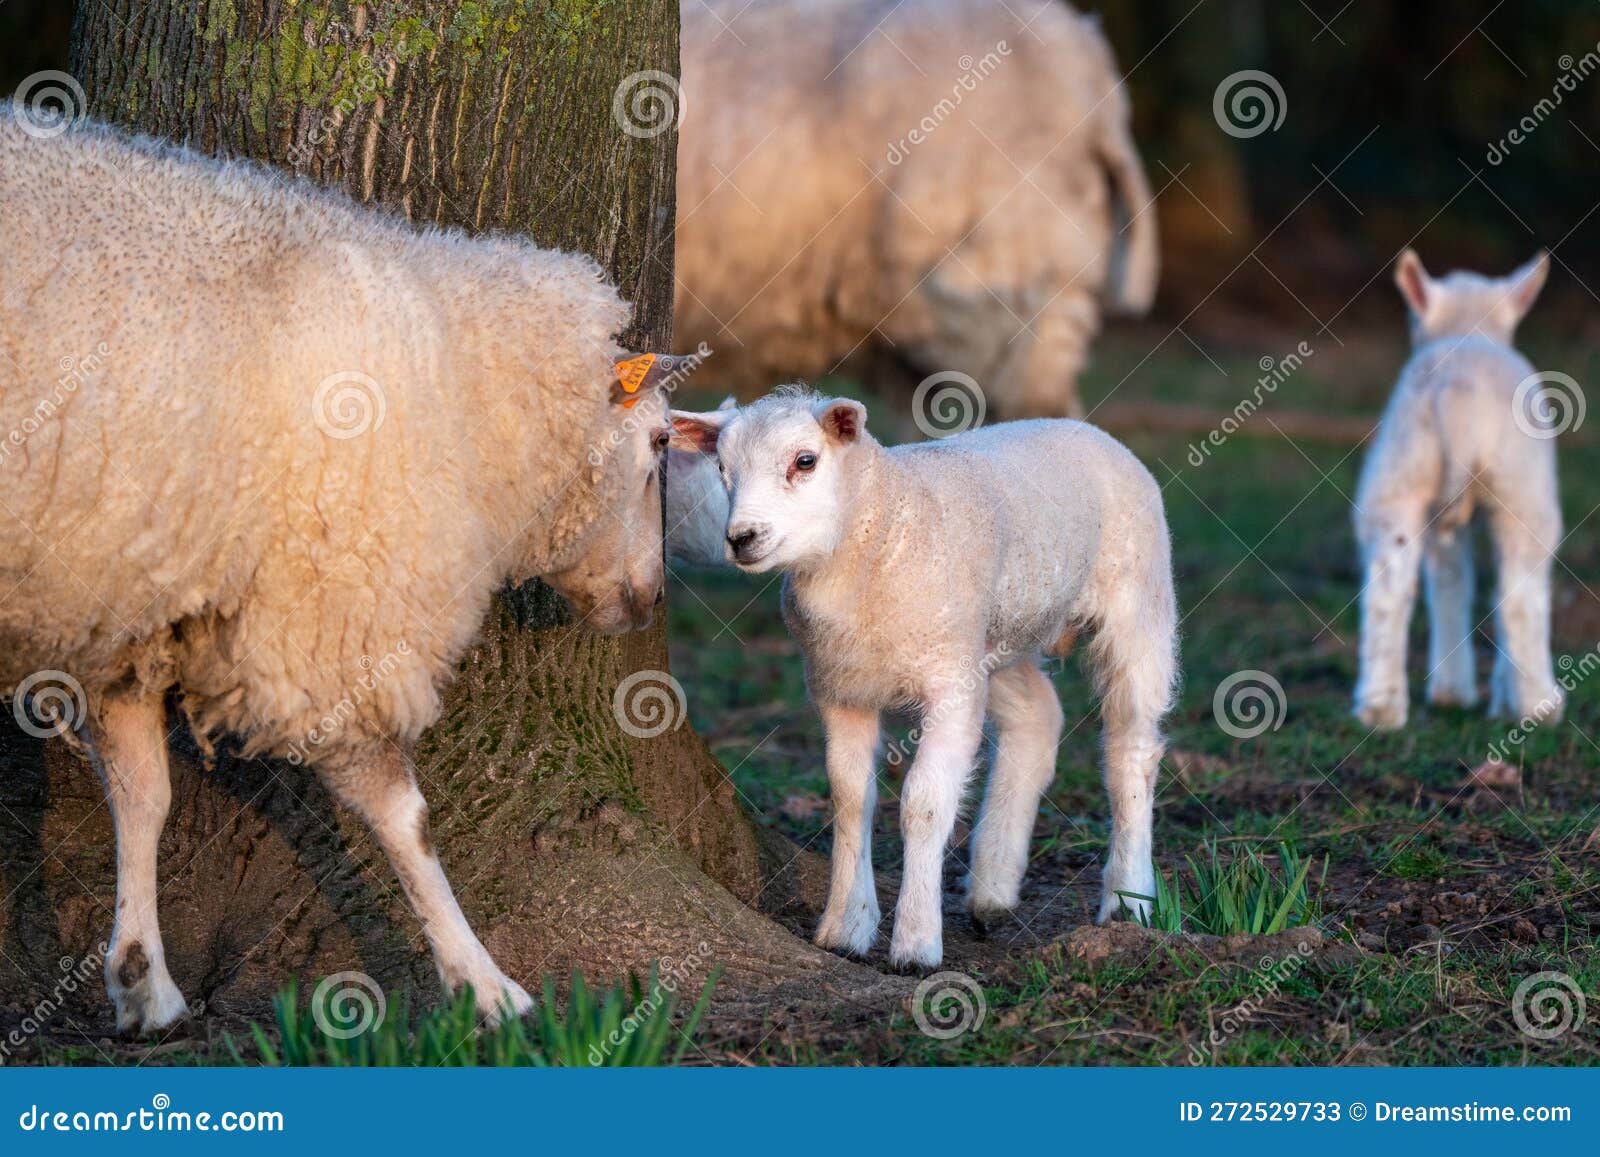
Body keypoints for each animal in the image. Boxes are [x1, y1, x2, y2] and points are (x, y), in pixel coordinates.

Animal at [0, 118, 677, 1032]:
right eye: (659, 447)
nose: (653, 595)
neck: (456, 381)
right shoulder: (335, 611)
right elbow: (405, 817)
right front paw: (483, 983)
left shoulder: (132, 603)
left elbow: (143, 794)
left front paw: (142, 977)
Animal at [670, 388, 1178, 967]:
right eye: (721, 467)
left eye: (805, 461)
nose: (742, 538)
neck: (881, 527)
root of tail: (1086, 430)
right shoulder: (840, 688)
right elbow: (850, 798)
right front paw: (846, 927)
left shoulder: (948, 687)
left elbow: (923, 803)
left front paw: (915, 941)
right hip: (989, 641)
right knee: (1038, 717)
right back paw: (992, 887)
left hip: (1137, 602)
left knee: (1131, 749)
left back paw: (1128, 898)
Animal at [1353, 250, 1564, 731]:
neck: (1469, 328)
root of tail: (1456, 387)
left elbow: (1450, 579)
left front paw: (1452, 691)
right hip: (1525, 493)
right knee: (1520, 595)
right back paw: (1539, 706)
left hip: (1401, 474)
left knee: (1390, 589)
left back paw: (1382, 708)